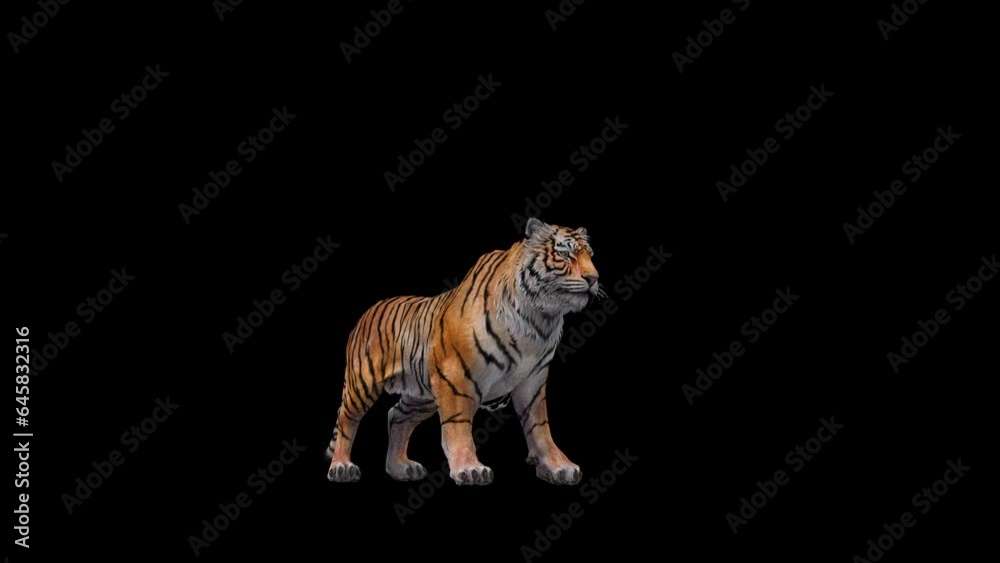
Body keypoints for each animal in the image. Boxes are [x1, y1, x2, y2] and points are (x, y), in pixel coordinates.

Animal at [325, 217, 601, 485]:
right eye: (564, 254)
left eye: (590, 255)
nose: (594, 278)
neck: (539, 320)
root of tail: (367, 312)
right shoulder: (456, 379)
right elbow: (458, 426)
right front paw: (469, 469)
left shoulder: (532, 381)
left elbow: (540, 426)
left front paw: (558, 466)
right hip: (362, 384)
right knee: (346, 420)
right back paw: (341, 467)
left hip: (421, 395)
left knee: (396, 417)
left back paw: (401, 468)